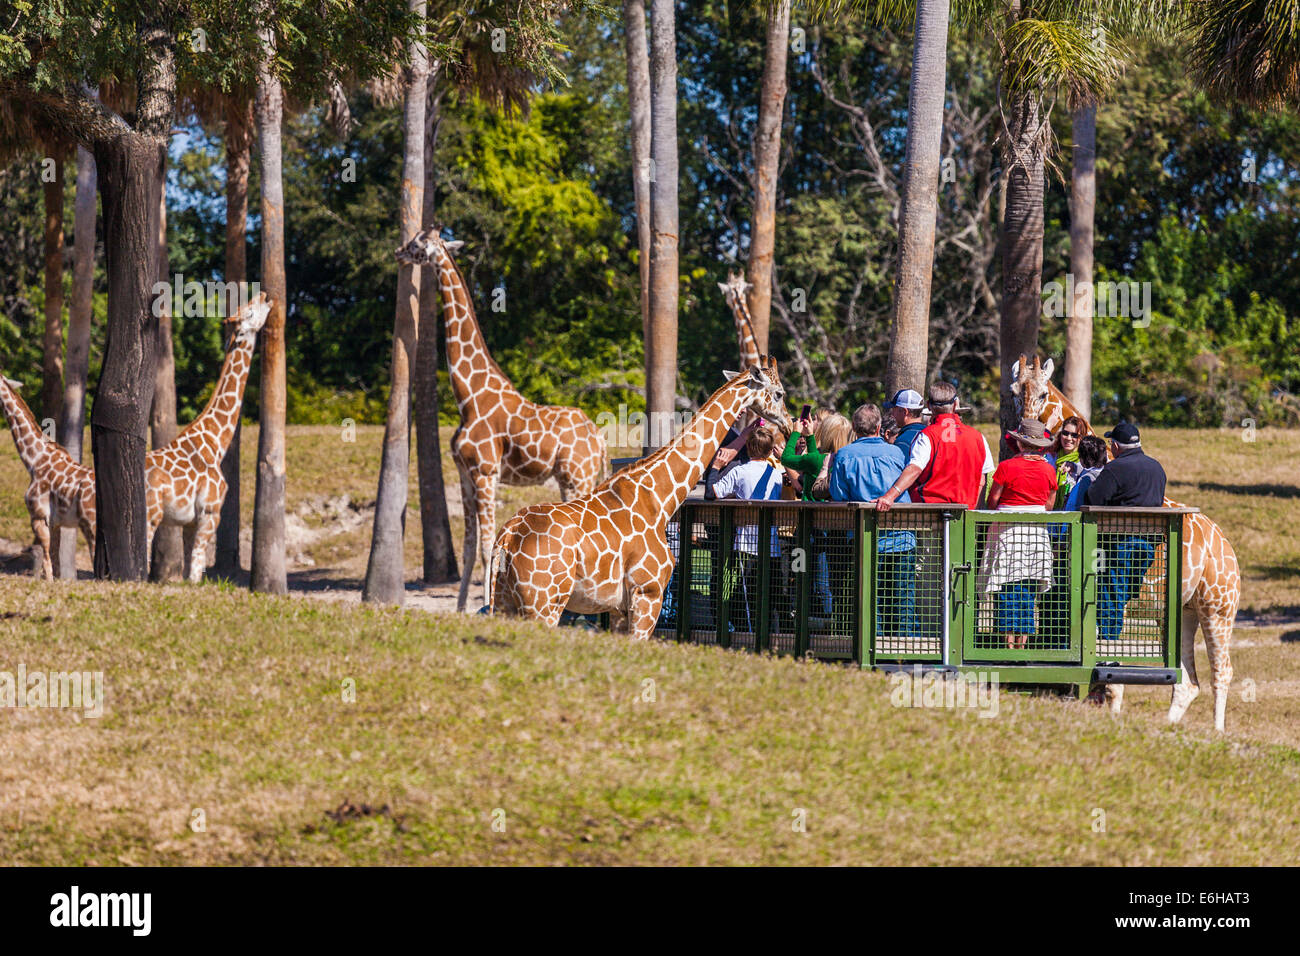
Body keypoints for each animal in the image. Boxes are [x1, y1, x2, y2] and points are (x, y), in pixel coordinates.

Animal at [0, 376, 96, 579]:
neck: (34, 461)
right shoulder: (53, 523)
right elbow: (48, 558)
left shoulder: (38, 517)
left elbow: (46, 562)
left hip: (91, 522)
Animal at [143, 293, 271, 582]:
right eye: (249, 312)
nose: (263, 295)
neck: (215, 442)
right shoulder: (210, 512)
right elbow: (195, 572)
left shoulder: (189, 521)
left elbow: (191, 572)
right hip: (151, 513)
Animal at [395, 227, 607, 611]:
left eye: (417, 243)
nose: (398, 252)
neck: (468, 395)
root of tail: (598, 437)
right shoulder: (464, 474)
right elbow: (467, 546)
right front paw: (461, 607)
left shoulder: (486, 472)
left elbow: (486, 544)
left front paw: (487, 604)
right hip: (571, 479)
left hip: (577, 477)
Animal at [490, 356, 791, 638]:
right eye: (779, 393)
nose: (788, 425)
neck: (660, 499)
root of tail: (507, 537)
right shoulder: (648, 594)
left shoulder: (619, 609)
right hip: (543, 605)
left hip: (507, 603)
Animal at [1010, 354, 1242, 731]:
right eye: (1015, 391)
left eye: (1044, 393)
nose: (1024, 426)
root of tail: (1227, 547)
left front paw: (1110, 708)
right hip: (1182, 611)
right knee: (1187, 681)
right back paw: (1168, 727)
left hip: (1219, 608)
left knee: (1222, 672)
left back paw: (1218, 733)